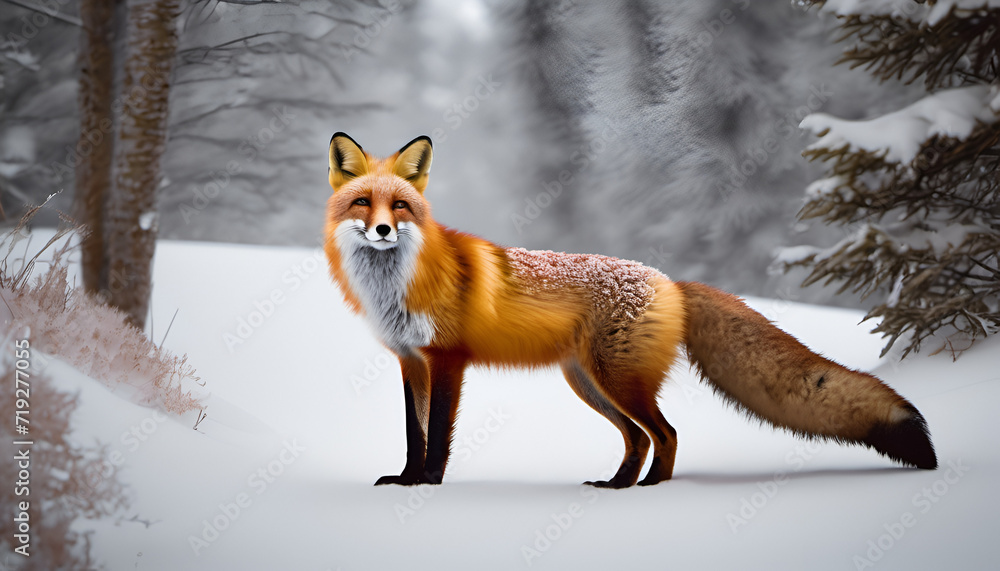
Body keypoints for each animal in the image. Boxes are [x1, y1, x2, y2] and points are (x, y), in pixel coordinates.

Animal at [323, 132, 937, 488]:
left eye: (401, 206)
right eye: (363, 202)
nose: (382, 230)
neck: (398, 284)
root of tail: (670, 281)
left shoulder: (448, 360)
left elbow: (438, 436)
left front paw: (429, 485)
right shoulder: (411, 361)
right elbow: (413, 432)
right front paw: (405, 480)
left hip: (616, 380)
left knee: (665, 434)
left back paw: (649, 489)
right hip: (591, 383)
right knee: (640, 439)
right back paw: (619, 486)